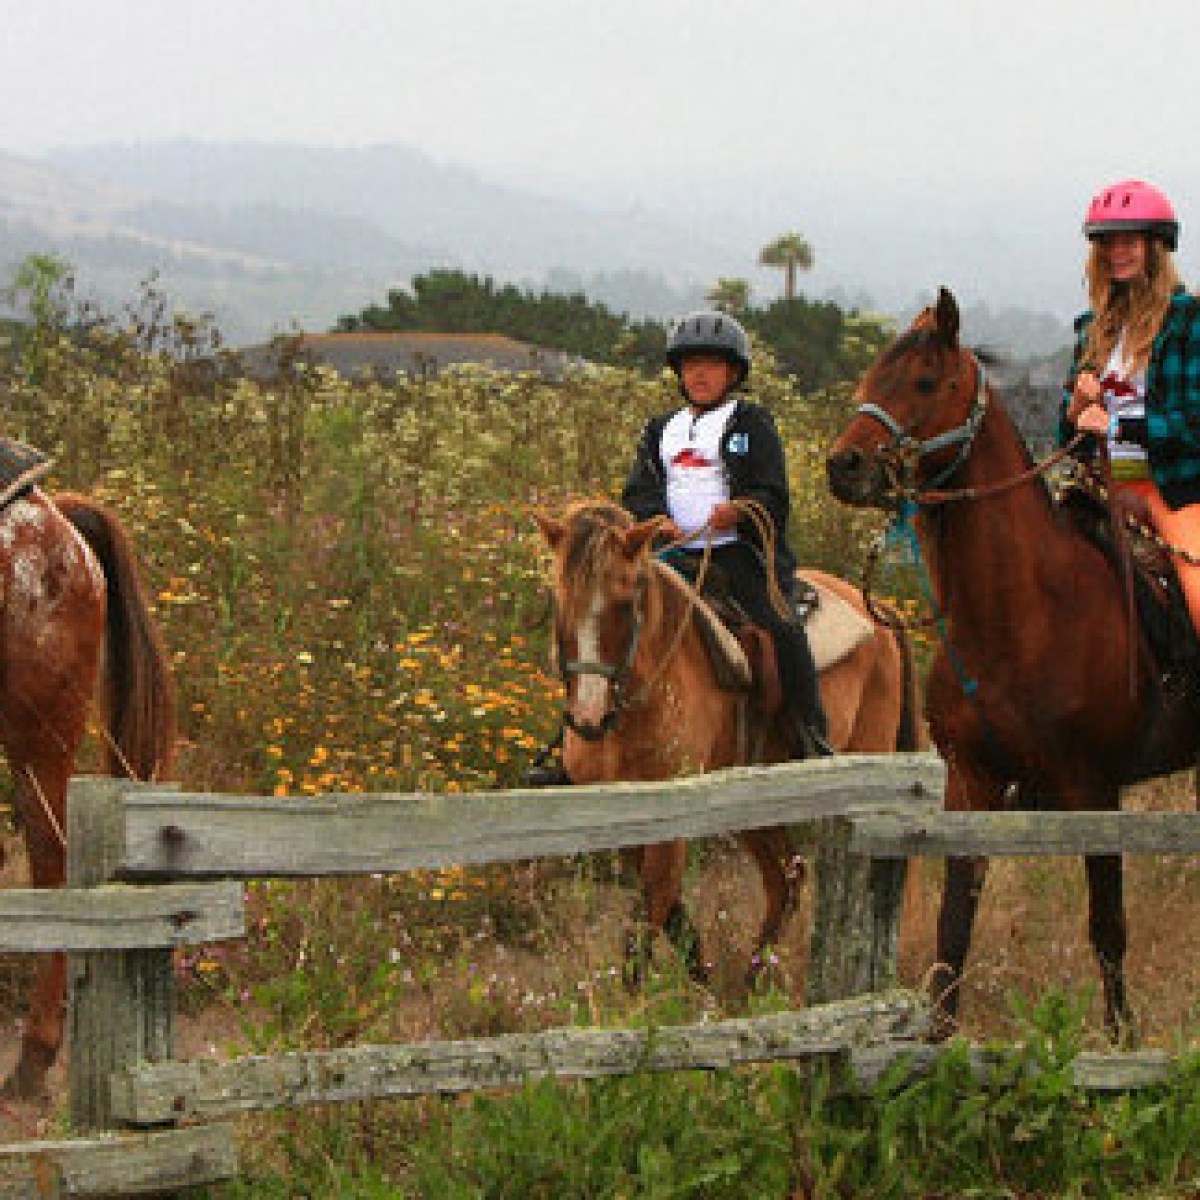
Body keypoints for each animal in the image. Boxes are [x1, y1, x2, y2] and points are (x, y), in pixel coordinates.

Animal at [535, 498, 918, 985]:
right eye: (560, 600)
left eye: (625, 603)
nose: (587, 717)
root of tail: (878, 612)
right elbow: (667, 909)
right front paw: (701, 974)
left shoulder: (670, 817)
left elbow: (649, 913)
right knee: (786, 877)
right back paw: (752, 982)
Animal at [826, 286, 1200, 1042]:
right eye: (875, 370)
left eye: (925, 381)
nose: (844, 466)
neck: (1026, 615)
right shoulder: (971, 779)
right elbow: (954, 926)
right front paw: (936, 1041)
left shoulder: (1094, 790)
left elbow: (1108, 927)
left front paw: (1122, 1042)